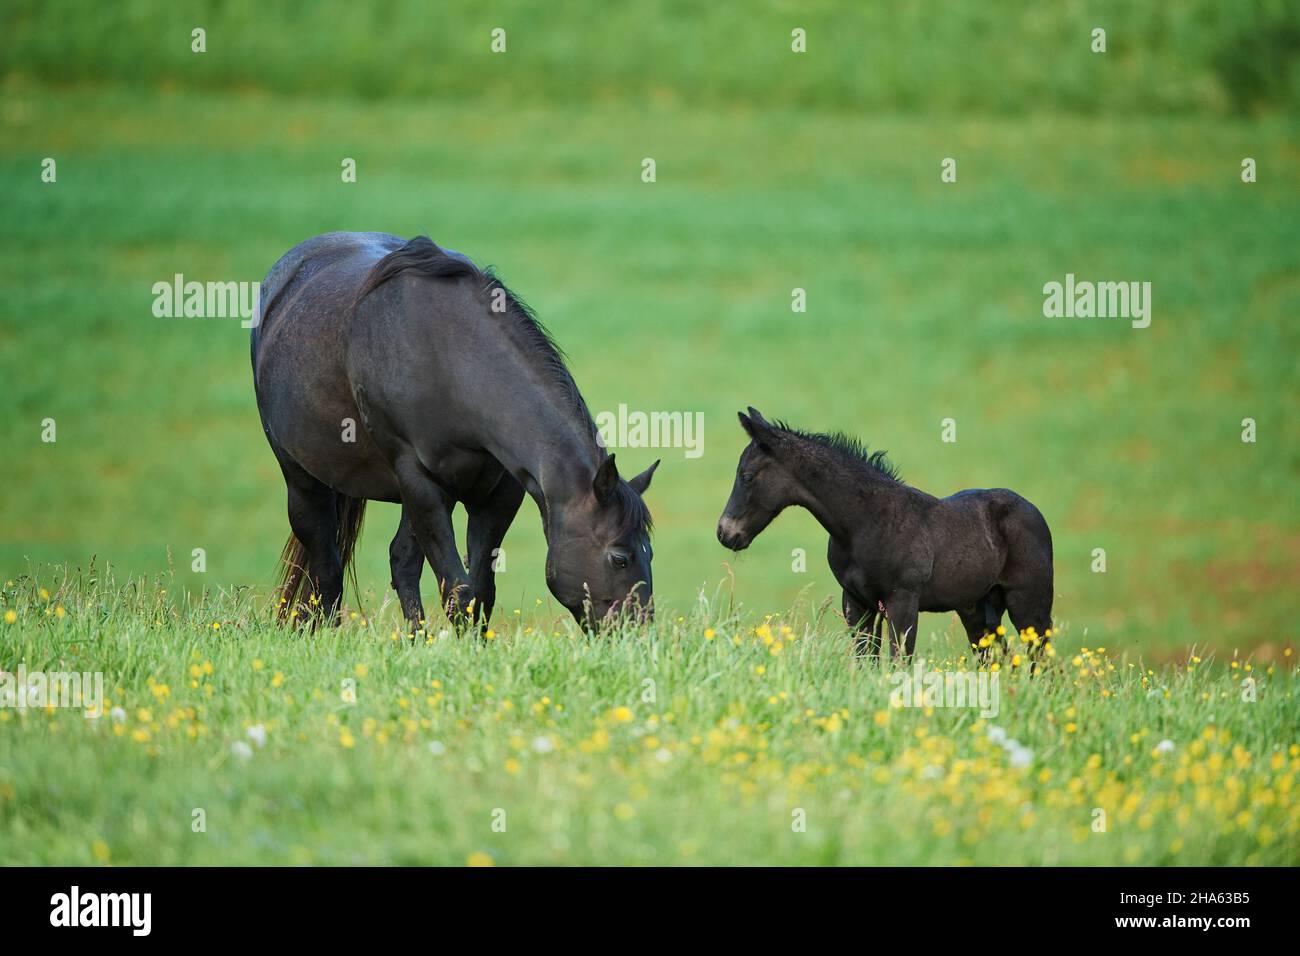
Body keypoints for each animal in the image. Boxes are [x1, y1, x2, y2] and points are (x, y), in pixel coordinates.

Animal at [251, 232, 659, 629]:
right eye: (619, 558)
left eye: (649, 553)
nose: (637, 632)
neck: (449, 363)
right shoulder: (421, 484)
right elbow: (458, 589)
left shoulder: (496, 495)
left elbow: (480, 591)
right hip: (304, 480)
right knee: (327, 568)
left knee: (400, 562)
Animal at [716, 408, 1053, 660]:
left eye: (747, 476)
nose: (725, 533)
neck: (864, 523)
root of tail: (1032, 509)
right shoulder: (856, 602)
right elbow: (866, 659)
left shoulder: (902, 601)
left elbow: (897, 661)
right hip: (976, 609)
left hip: (1029, 603)